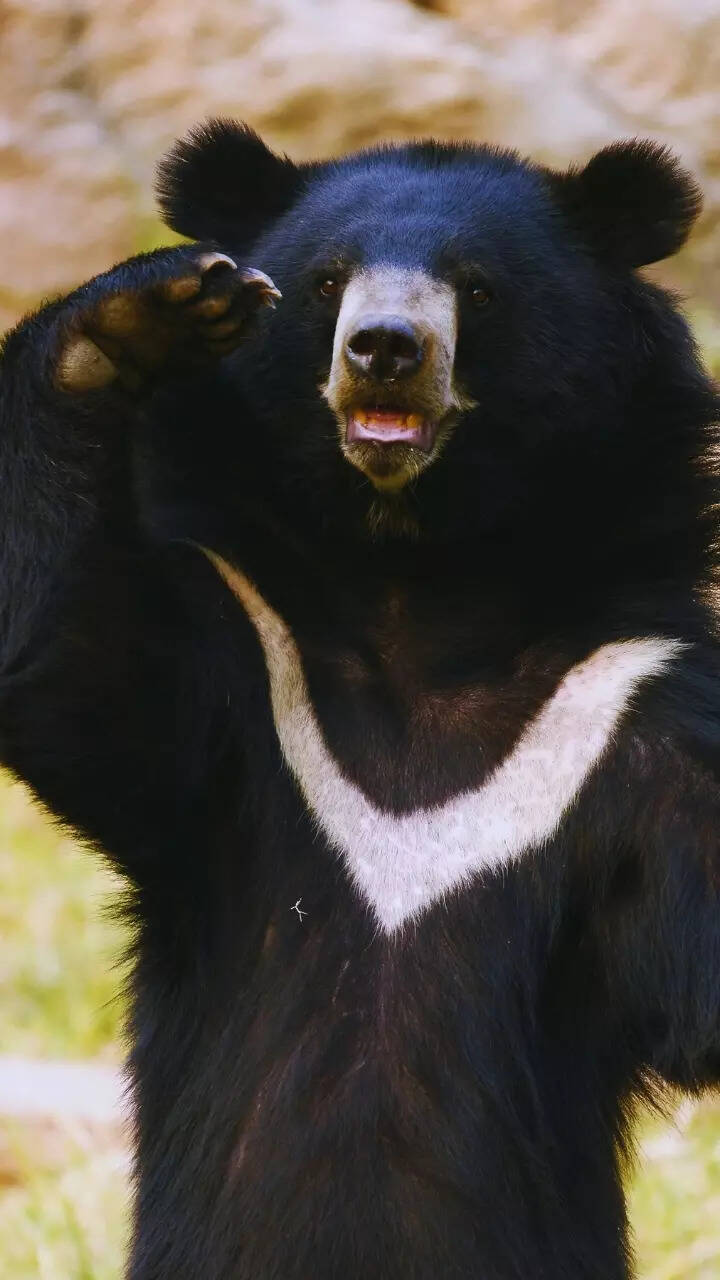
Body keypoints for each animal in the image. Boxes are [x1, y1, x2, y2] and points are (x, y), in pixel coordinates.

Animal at [1, 118, 719, 1279]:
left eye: (477, 289)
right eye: (327, 278)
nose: (385, 347)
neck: (413, 579)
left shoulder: (635, 709)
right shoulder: (244, 676)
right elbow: (73, 665)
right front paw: (146, 312)